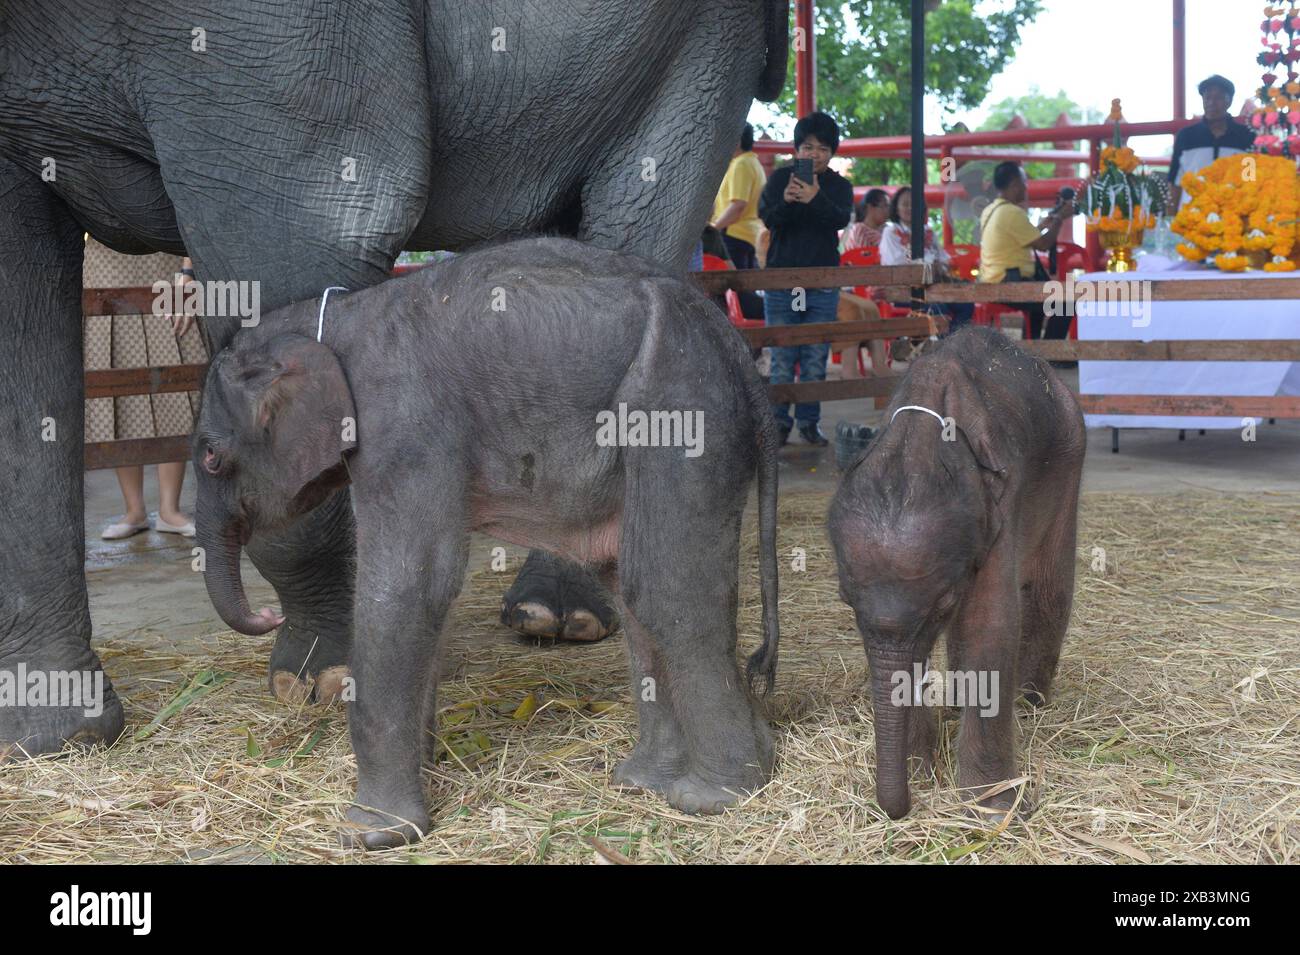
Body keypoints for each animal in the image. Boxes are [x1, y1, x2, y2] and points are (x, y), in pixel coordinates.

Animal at [0, 0, 788, 758]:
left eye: (217, 459)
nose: (262, 618)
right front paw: (51, 734)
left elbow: (299, 230)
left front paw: (320, 681)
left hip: (704, 42)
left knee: (641, 209)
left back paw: (556, 618)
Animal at [191, 237, 781, 848]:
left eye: (210, 455)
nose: (268, 615)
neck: (330, 318)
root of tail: (739, 351)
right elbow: (433, 598)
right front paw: (424, 771)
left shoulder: (405, 431)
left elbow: (407, 588)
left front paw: (370, 834)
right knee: (628, 584)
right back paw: (646, 781)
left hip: (681, 407)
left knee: (665, 590)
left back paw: (714, 796)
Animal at [827, 327, 1085, 820]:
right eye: (846, 601)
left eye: (942, 603)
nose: (900, 808)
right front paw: (923, 770)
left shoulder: (1002, 504)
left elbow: (990, 625)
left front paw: (995, 810)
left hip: (1070, 462)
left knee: (1048, 588)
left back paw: (1030, 705)